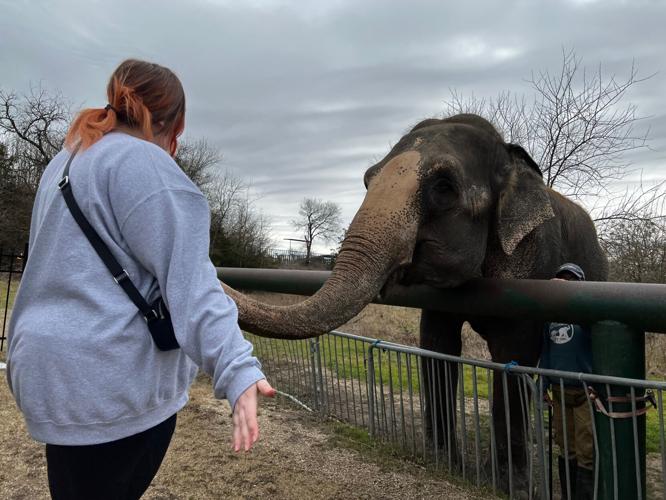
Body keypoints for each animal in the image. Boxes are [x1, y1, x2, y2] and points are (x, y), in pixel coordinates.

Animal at [223, 113, 608, 492]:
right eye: (367, 179)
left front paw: (505, 487)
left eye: (444, 188)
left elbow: (513, 355)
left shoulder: (533, 266)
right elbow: (437, 343)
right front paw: (444, 464)